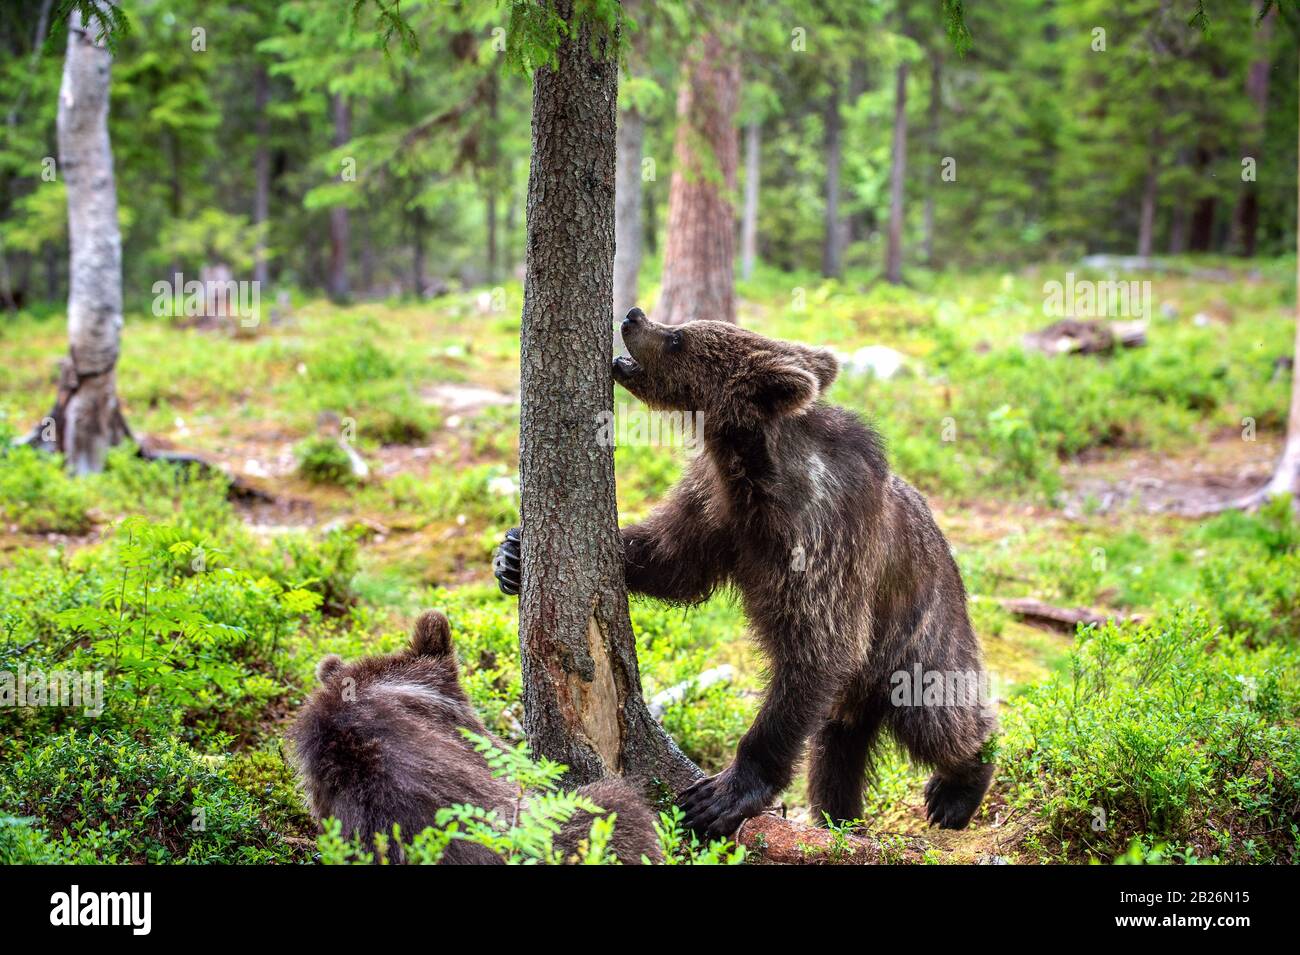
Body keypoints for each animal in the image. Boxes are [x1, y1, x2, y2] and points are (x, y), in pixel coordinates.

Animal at [493, 307, 995, 839]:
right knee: (837, 746)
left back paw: (957, 789)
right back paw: (838, 819)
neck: (757, 478)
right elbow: (673, 560)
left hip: (916, 630)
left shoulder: (823, 547)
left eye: (678, 338)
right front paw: (512, 553)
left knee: (938, 712)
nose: (632, 315)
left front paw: (720, 796)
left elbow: (815, 654)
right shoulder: (717, 508)